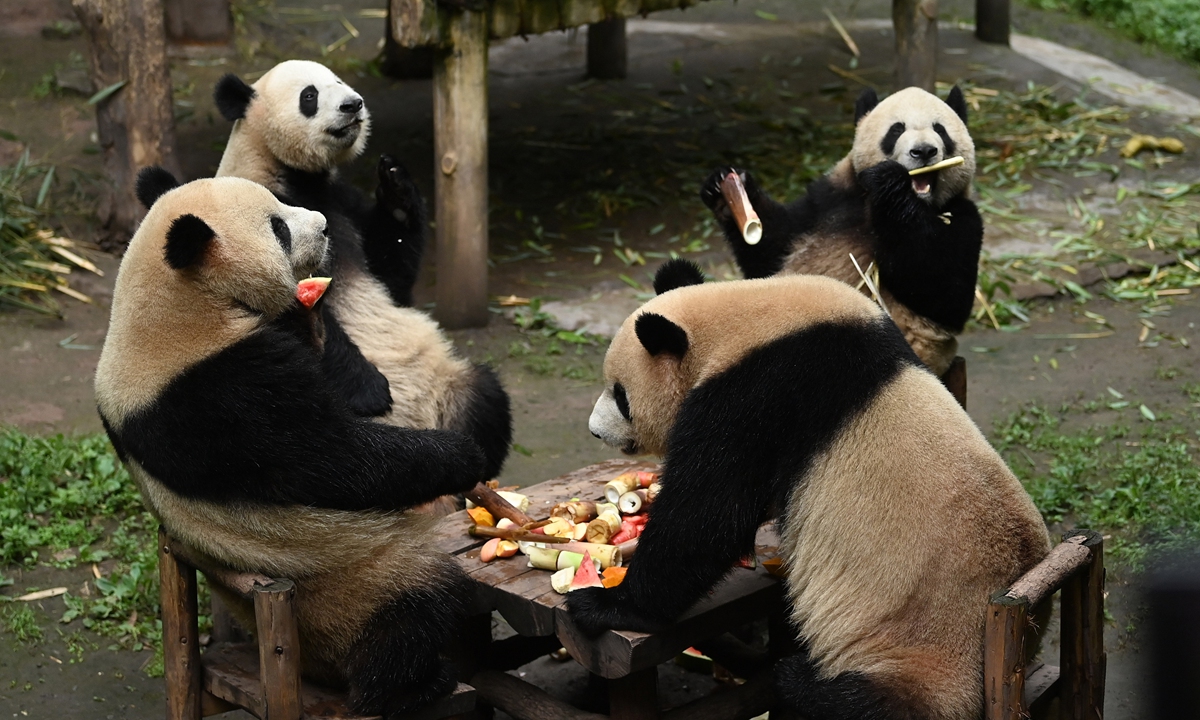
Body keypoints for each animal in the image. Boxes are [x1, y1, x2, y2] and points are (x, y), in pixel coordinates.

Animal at [97, 171, 484, 717]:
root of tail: (313, 667)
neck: (176, 308)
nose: (323, 226)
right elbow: (334, 457)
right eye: (279, 227)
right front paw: (462, 454)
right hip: (350, 579)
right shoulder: (214, 394)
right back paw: (412, 684)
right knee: (415, 609)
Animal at [210, 59, 511, 481]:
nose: (353, 105)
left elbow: (391, 276)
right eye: (309, 95)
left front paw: (397, 187)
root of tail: (420, 421)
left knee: (487, 398)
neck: (289, 172)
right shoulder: (256, 223)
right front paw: (371, 389)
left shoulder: (343, 204)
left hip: (451, 384)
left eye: (338, 80)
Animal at [568, 259, 1050, 720]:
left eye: (620, 394)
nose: (593, 431)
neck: (743, 324)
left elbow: (707, 517)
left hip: (914, 654)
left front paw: (607, 604)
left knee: (854, 700)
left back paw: (796, 680)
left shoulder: (756, 398)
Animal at [701, 86, 982, 376]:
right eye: (896, 130)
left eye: (940, 130)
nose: (924, 150)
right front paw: (725, 187)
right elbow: (772, 252)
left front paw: (890, 181)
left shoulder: (963, 216)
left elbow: (943, 292)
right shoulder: (828, 202)